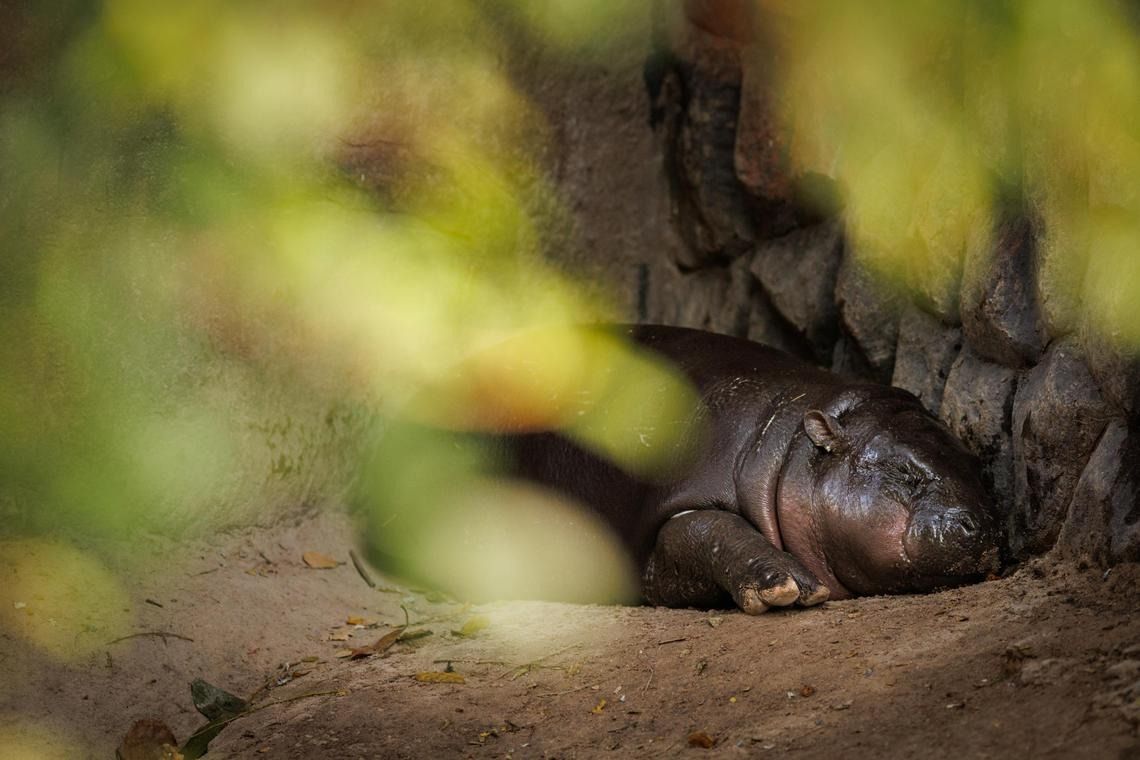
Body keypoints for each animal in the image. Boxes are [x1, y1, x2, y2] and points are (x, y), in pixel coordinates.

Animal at [502, 325, 1001, 613]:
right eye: (903, 472)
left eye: (978, 466)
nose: (982, 526)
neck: (792, 447)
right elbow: (707, 529)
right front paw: (789, 586)